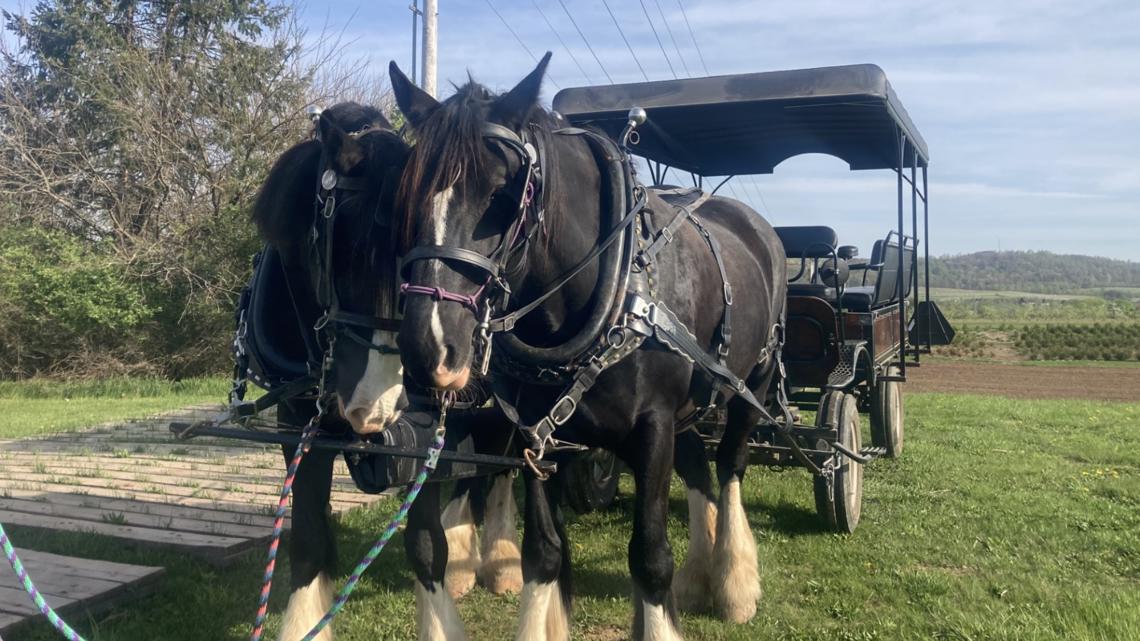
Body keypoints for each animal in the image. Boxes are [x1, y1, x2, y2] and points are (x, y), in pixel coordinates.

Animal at [249, 102, 521, 641]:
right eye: (343, 249)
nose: (373, 403)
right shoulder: (297, 423)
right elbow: (308, 540)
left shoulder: (422, 424)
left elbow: (424, 542)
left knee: (505, 468)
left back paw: (501, 559)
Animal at [385, 53, 788, 640]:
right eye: (409, 193)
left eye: (503, 195)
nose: (429, 347)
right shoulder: (538, 436)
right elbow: (544, 552)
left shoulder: (653, 425)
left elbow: (650, 557)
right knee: (697, 465)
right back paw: (699, 577)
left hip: (749, 385)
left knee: (730, 465)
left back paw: (734, 583)